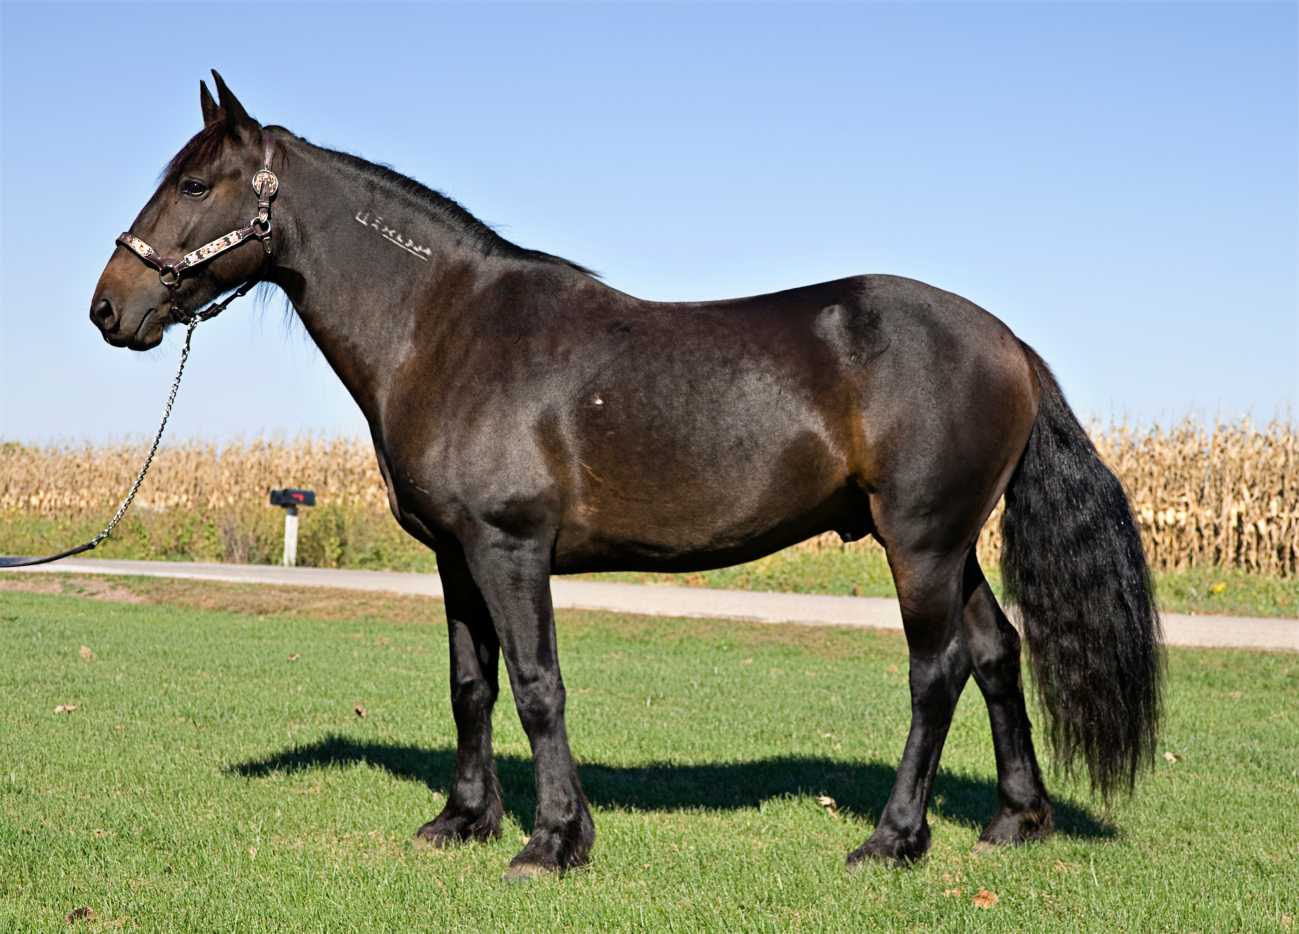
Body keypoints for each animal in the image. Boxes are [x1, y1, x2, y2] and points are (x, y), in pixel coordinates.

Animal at [89, 72, 1162, 879]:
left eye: (195, 187)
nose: (110, 307)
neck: (446, 330)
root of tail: (1007, 343)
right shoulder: (454, 558)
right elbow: (470, 687)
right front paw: (462, 822)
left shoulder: (510, 548)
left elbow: (536, 686)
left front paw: (553, 842)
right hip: (944, 543)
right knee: (995, 652)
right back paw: (1014, 821)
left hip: (922, 542)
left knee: (936, 672)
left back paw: (892, 841)